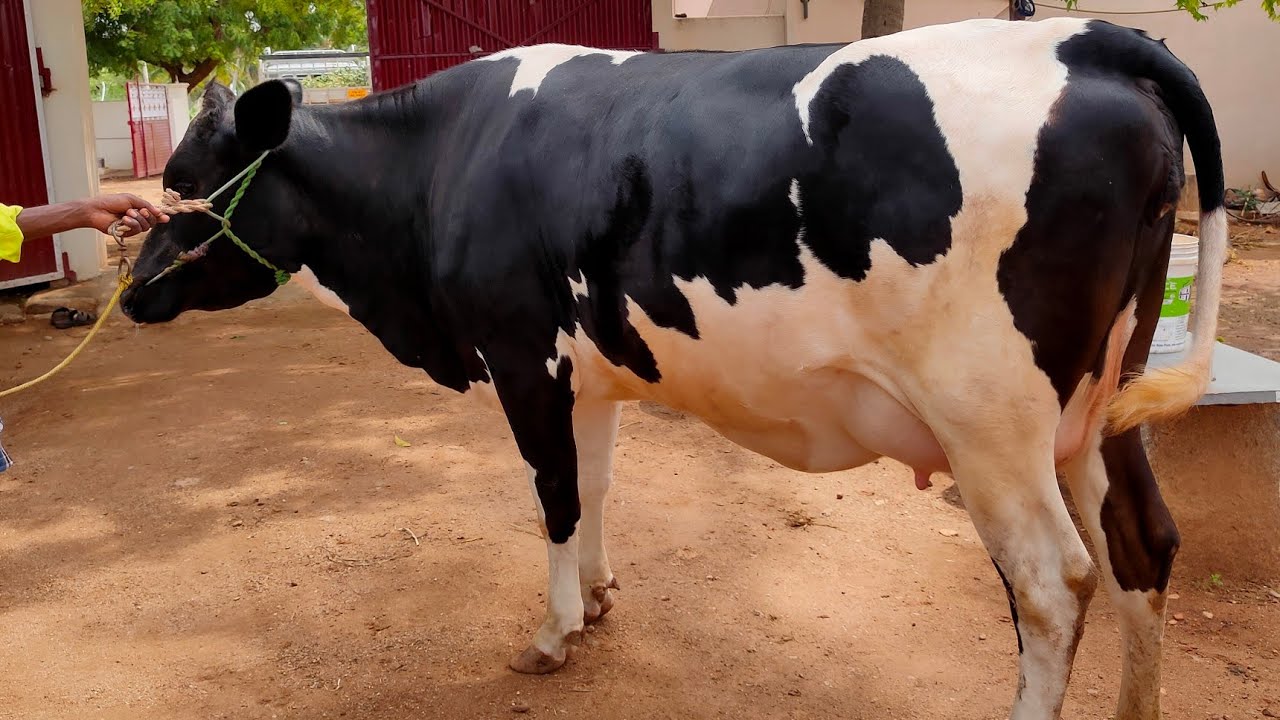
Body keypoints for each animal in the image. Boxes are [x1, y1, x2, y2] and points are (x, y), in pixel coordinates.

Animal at [120, 17, 1226, 720]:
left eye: (187, 184)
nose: (130, 294)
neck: (435, 168)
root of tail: (1092, 36)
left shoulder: (520, 355)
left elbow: (554, 493)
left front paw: (555, 631)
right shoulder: (587, 369)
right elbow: (597, 481)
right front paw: (600, 594)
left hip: (988, 416)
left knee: (1051, 585)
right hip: (1103, 402)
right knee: (1143, 543)